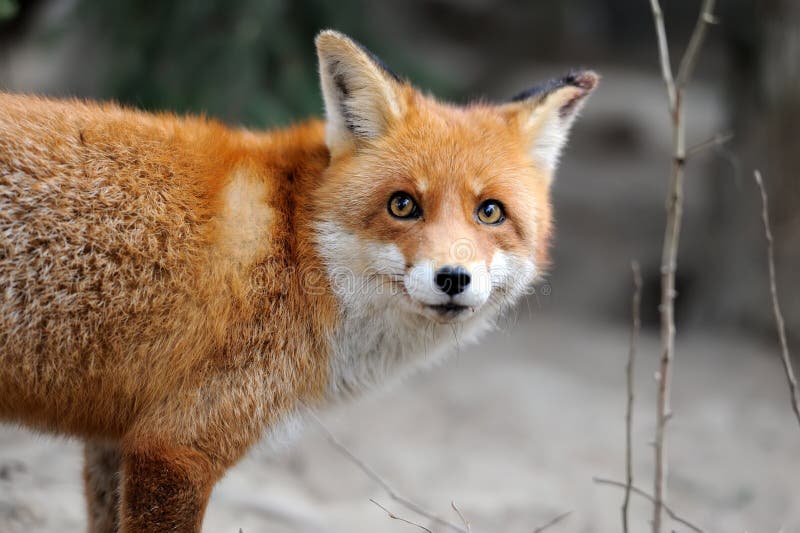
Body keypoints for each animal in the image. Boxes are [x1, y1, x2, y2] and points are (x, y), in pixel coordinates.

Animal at [0, 30, 597, 532]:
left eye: (490, 212)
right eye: (403, 205)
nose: (453, 277)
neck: (299, 245)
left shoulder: (113, 437)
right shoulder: (176, 446)